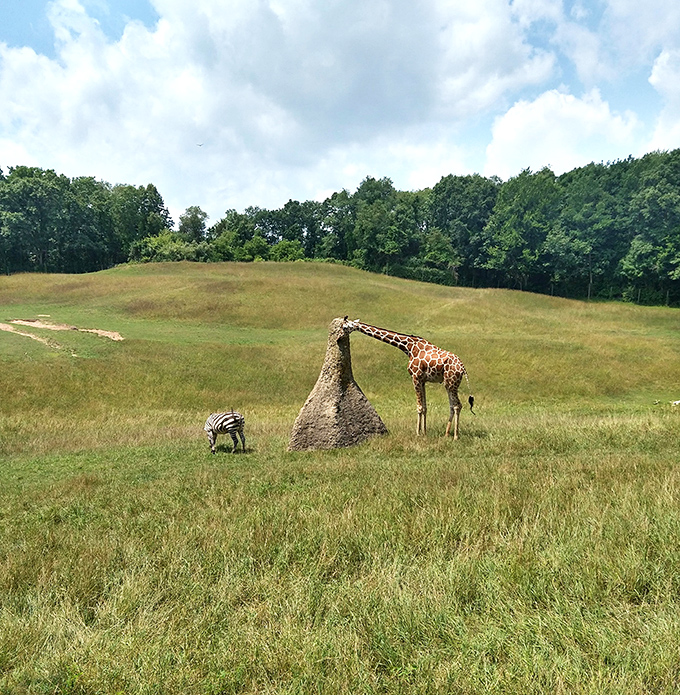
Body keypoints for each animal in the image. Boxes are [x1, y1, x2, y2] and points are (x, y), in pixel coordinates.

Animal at [344, 318, 474, 439]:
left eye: (345, 326)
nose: (342, 333)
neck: (408, 347)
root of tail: (463, 368)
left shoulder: (415, 377)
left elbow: (419, 407)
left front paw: (417, 433)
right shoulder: (422, 380)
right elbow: (425, 407)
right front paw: (424, 433)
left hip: (452, 383)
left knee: (457, 405)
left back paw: (456, 436)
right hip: (449, 384)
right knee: (452, 405)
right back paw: (446, 434)